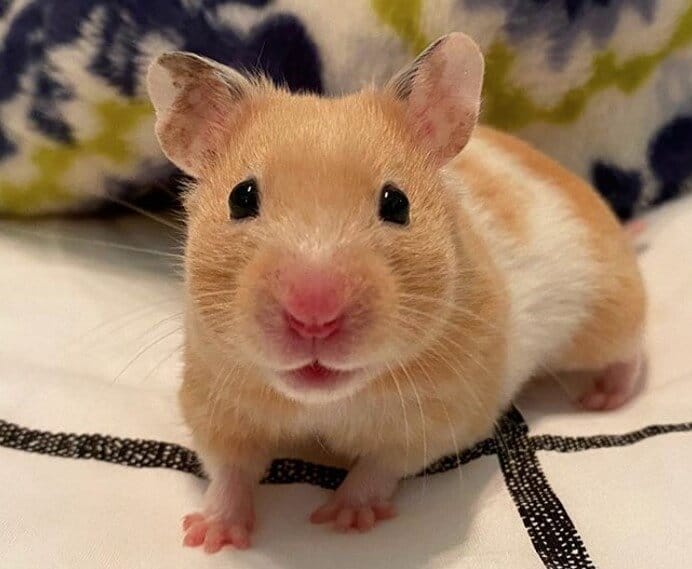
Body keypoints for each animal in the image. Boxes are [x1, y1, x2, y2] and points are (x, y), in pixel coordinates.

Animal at [146, 32, 646, 552]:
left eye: (397, 203)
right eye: (241, 198)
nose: (313, 316)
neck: (325, 402)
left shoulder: (439, 418)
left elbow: (380, 467)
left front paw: (342, 521)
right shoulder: (213, 396)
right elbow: (229, 468)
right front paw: (208, 537)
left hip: (600, 317)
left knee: (632, 347)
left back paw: (604, 399)